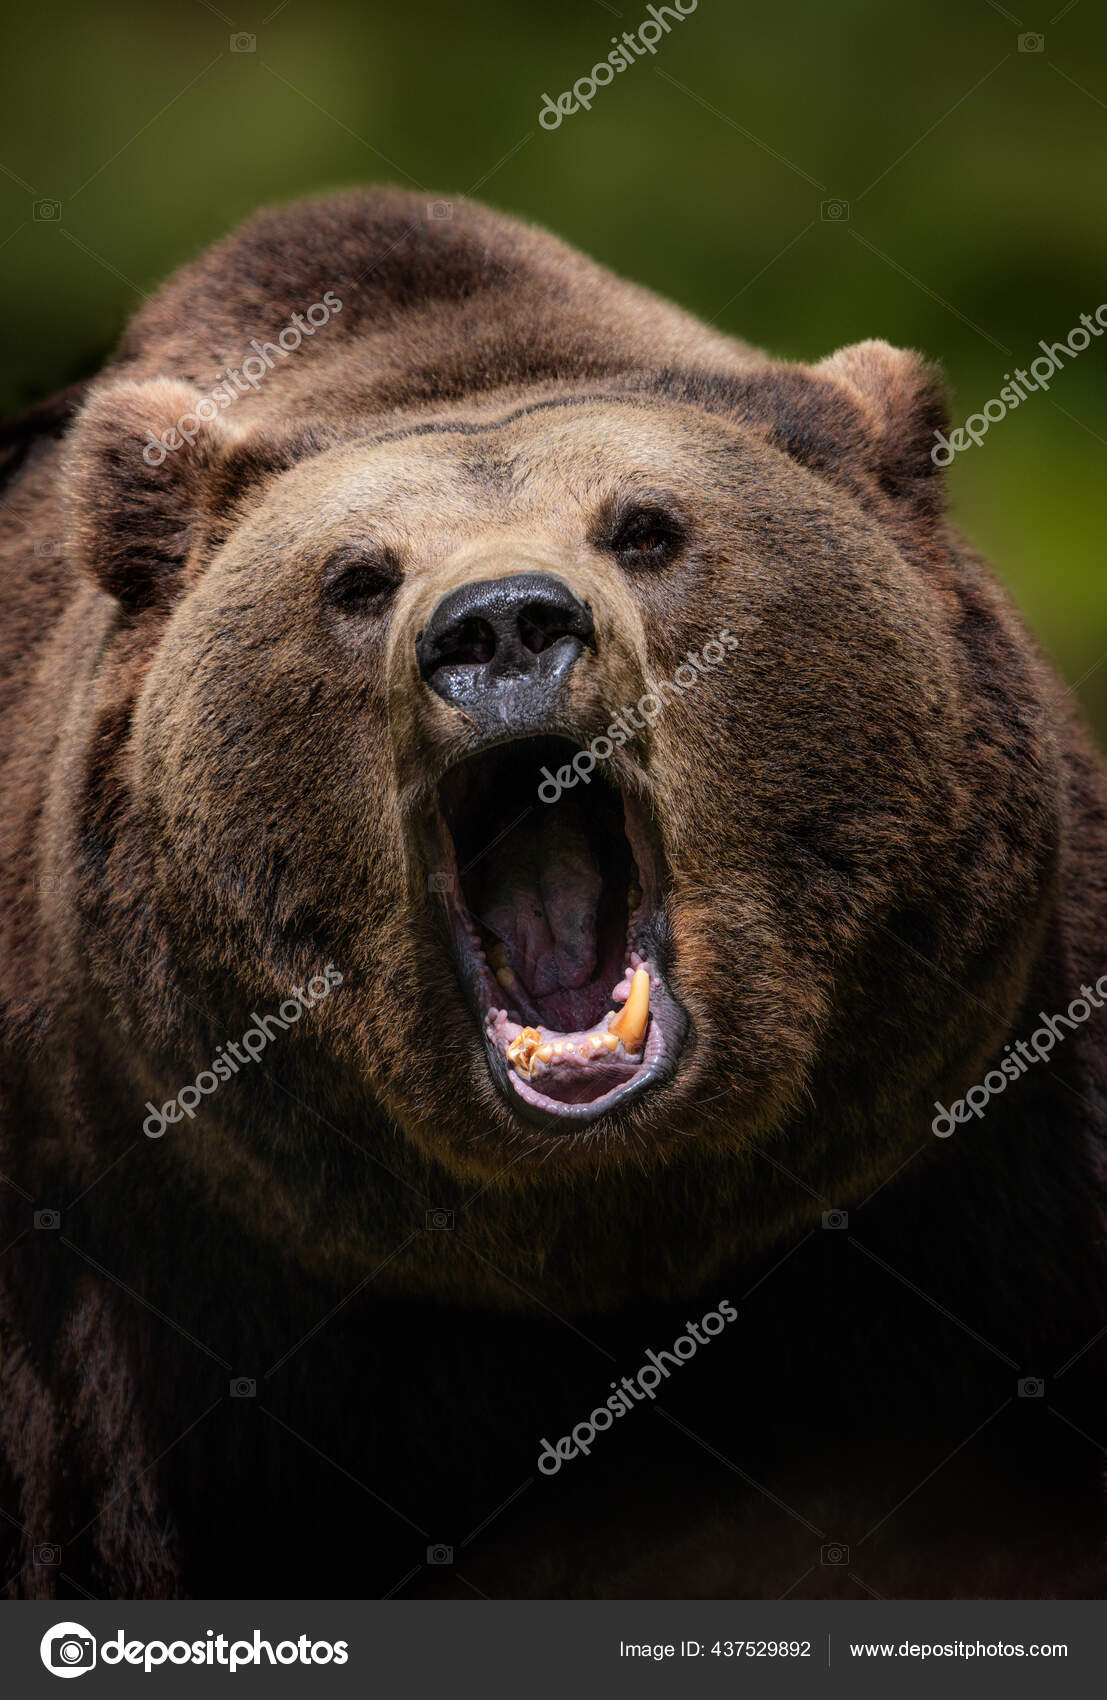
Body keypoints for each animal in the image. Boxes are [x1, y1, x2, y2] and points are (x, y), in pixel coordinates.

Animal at [1, 187, 1105, 1602]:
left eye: (646, 526)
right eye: (357, 576)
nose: (503, 625)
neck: (599, 1232)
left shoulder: (1008, 1184)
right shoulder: (136, 1325)